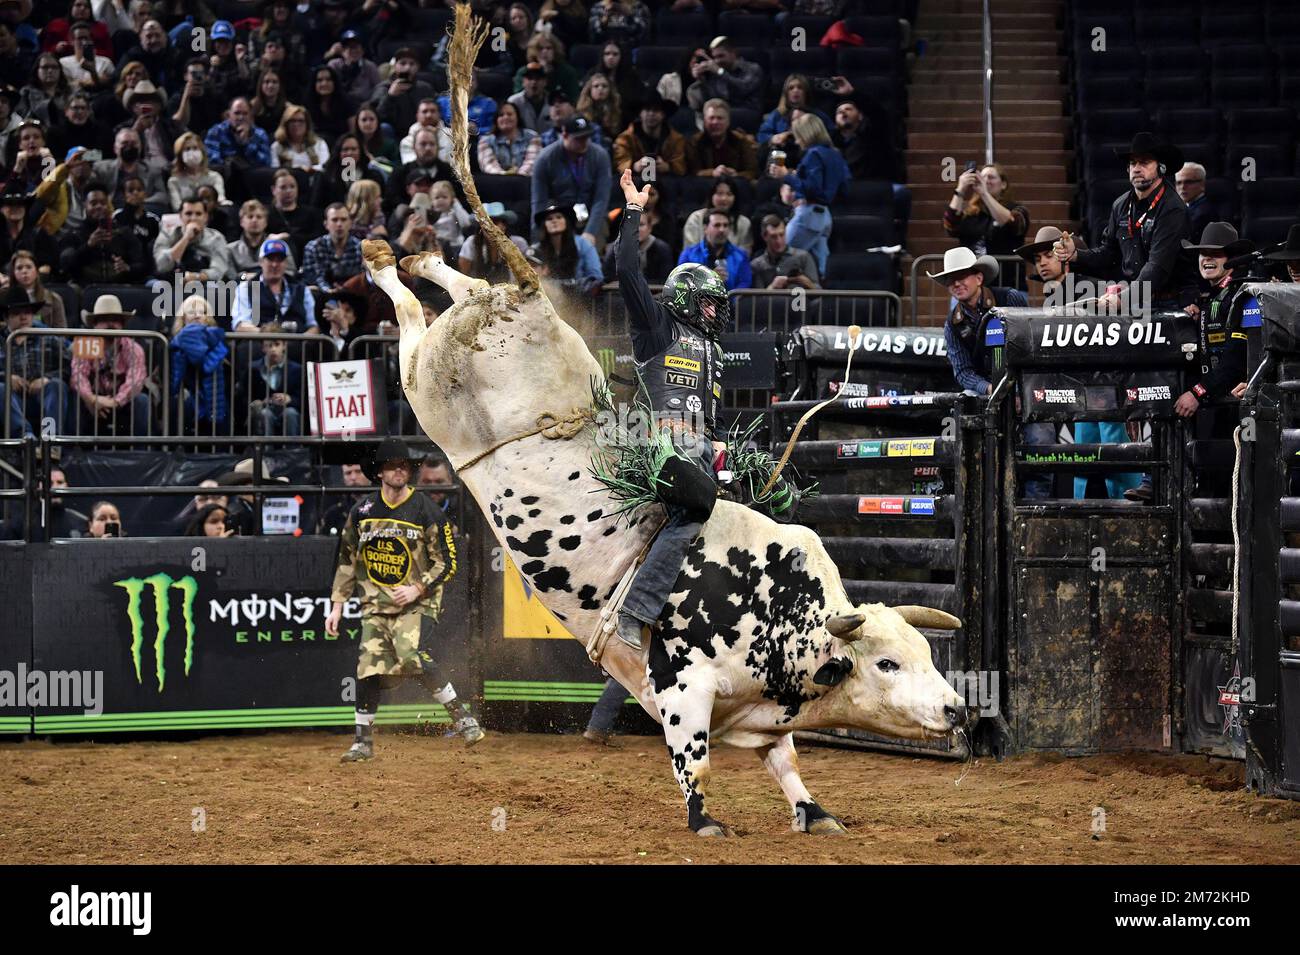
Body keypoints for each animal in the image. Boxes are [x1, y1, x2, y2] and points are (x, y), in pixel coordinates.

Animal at [361, 3, 968, 837]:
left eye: (928, 652)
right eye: (887, 660)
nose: (957, 708)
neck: (778, 609)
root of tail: (530, 298)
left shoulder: (759, 712)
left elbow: (785, 759)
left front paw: (813, 810)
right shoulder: (685, 686)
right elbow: (694, 755)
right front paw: (704, 816)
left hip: (461, 348)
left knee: (456, 287)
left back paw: (414, 253)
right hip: (429, 380)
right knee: (418, 315)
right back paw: (385, 257)